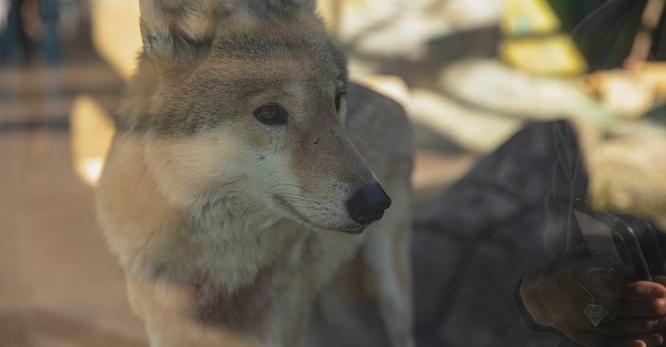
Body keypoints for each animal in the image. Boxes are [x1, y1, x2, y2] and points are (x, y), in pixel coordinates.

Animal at [96, 0, 412, 346]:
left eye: (336, 101)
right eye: (270, 112)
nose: (374, 203)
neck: (216, 277)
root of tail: (392, 98)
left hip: (390, 287)